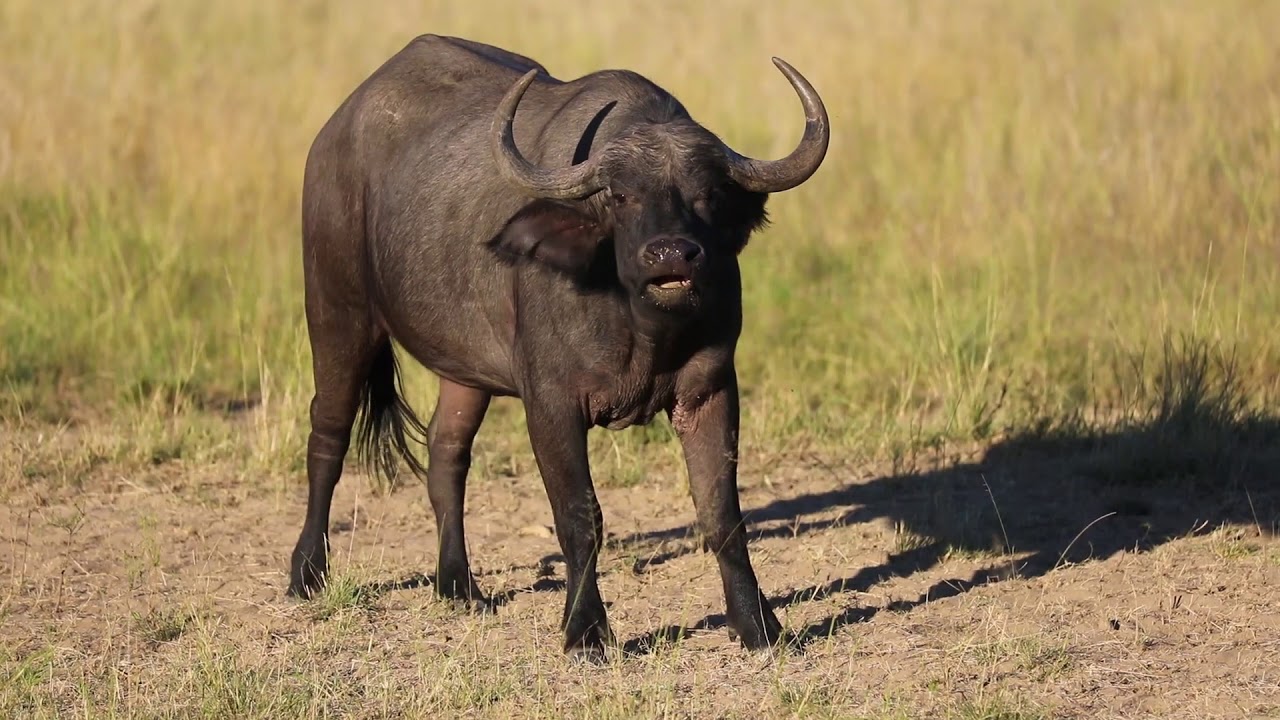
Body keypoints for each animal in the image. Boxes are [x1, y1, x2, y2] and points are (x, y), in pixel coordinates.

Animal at [288, 34, 830, 661]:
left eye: (710, 193)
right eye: (619, 196)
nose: (671, 255)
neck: (642, 326)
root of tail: (332, 135)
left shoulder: (711, 389)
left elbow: (721, 513)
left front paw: (758, 624)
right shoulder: (551, 404)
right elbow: (579, 514)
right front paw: (587, 631)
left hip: (464, 373)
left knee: (446, 454)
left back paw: (459, 586)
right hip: (338, 315)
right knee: (328, 434)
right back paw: (307, 573)